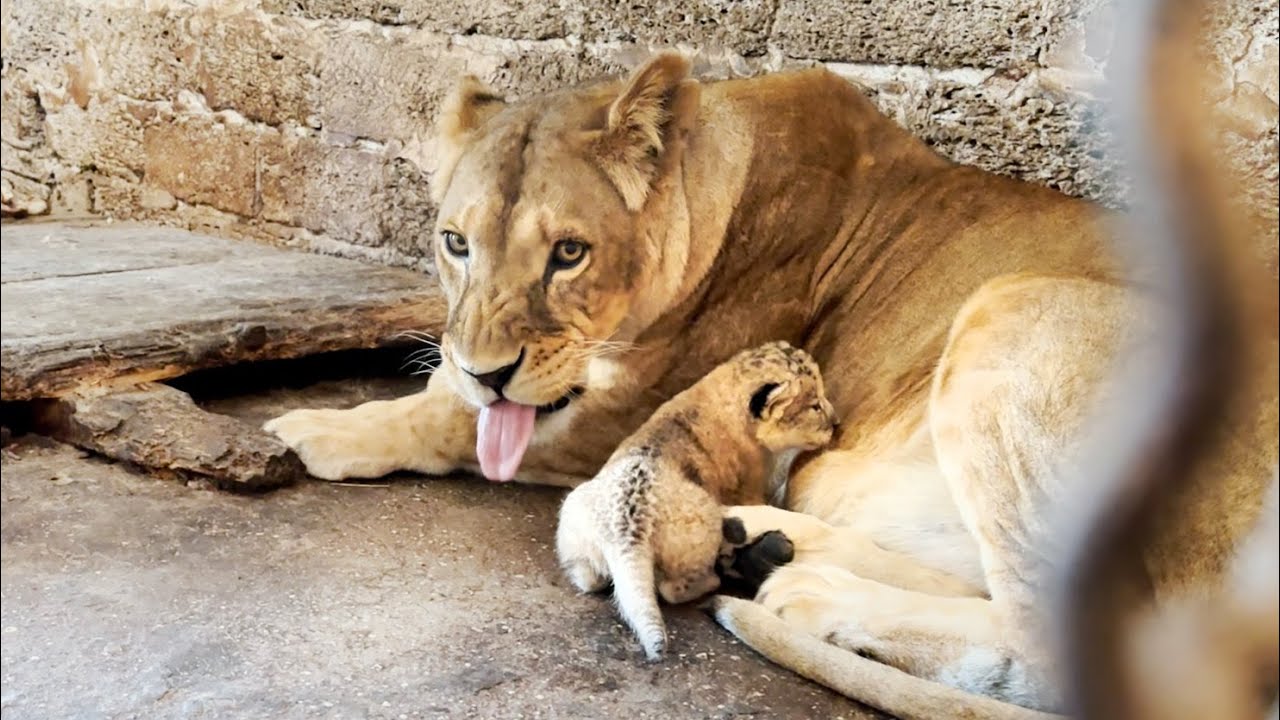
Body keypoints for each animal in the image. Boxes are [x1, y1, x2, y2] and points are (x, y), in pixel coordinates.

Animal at [265, 51, 1278, 718]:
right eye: (454, 242)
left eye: (570, 253)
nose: (486, 372)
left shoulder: (636, 407)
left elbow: (442, 422)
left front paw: (315, 428)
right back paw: (766, 545)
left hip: (1018, 306)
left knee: (1053, 642)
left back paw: (814, 596)